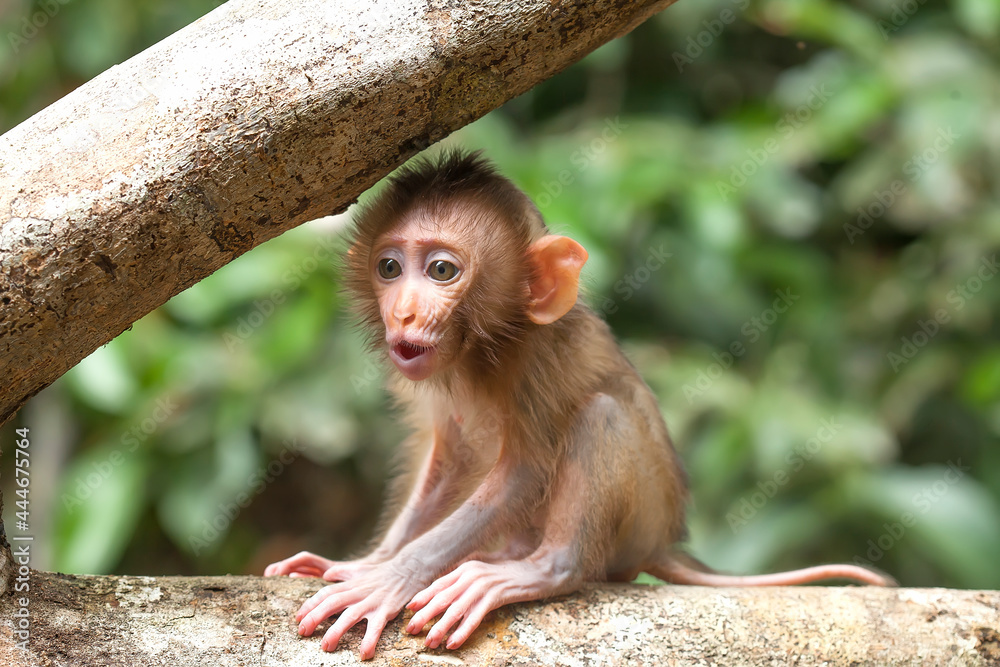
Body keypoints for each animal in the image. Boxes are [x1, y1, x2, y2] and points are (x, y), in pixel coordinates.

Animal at [264, 150, 894, 660]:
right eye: (389, 268)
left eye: (442, 270)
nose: (405, 313)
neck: (484, 352)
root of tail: (664, 541)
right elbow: (448, 462)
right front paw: (367, 563)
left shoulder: (534, 361)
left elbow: (522, 473)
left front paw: (391, 578)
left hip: (637, 522)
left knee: (600, 416)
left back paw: (539, 570)